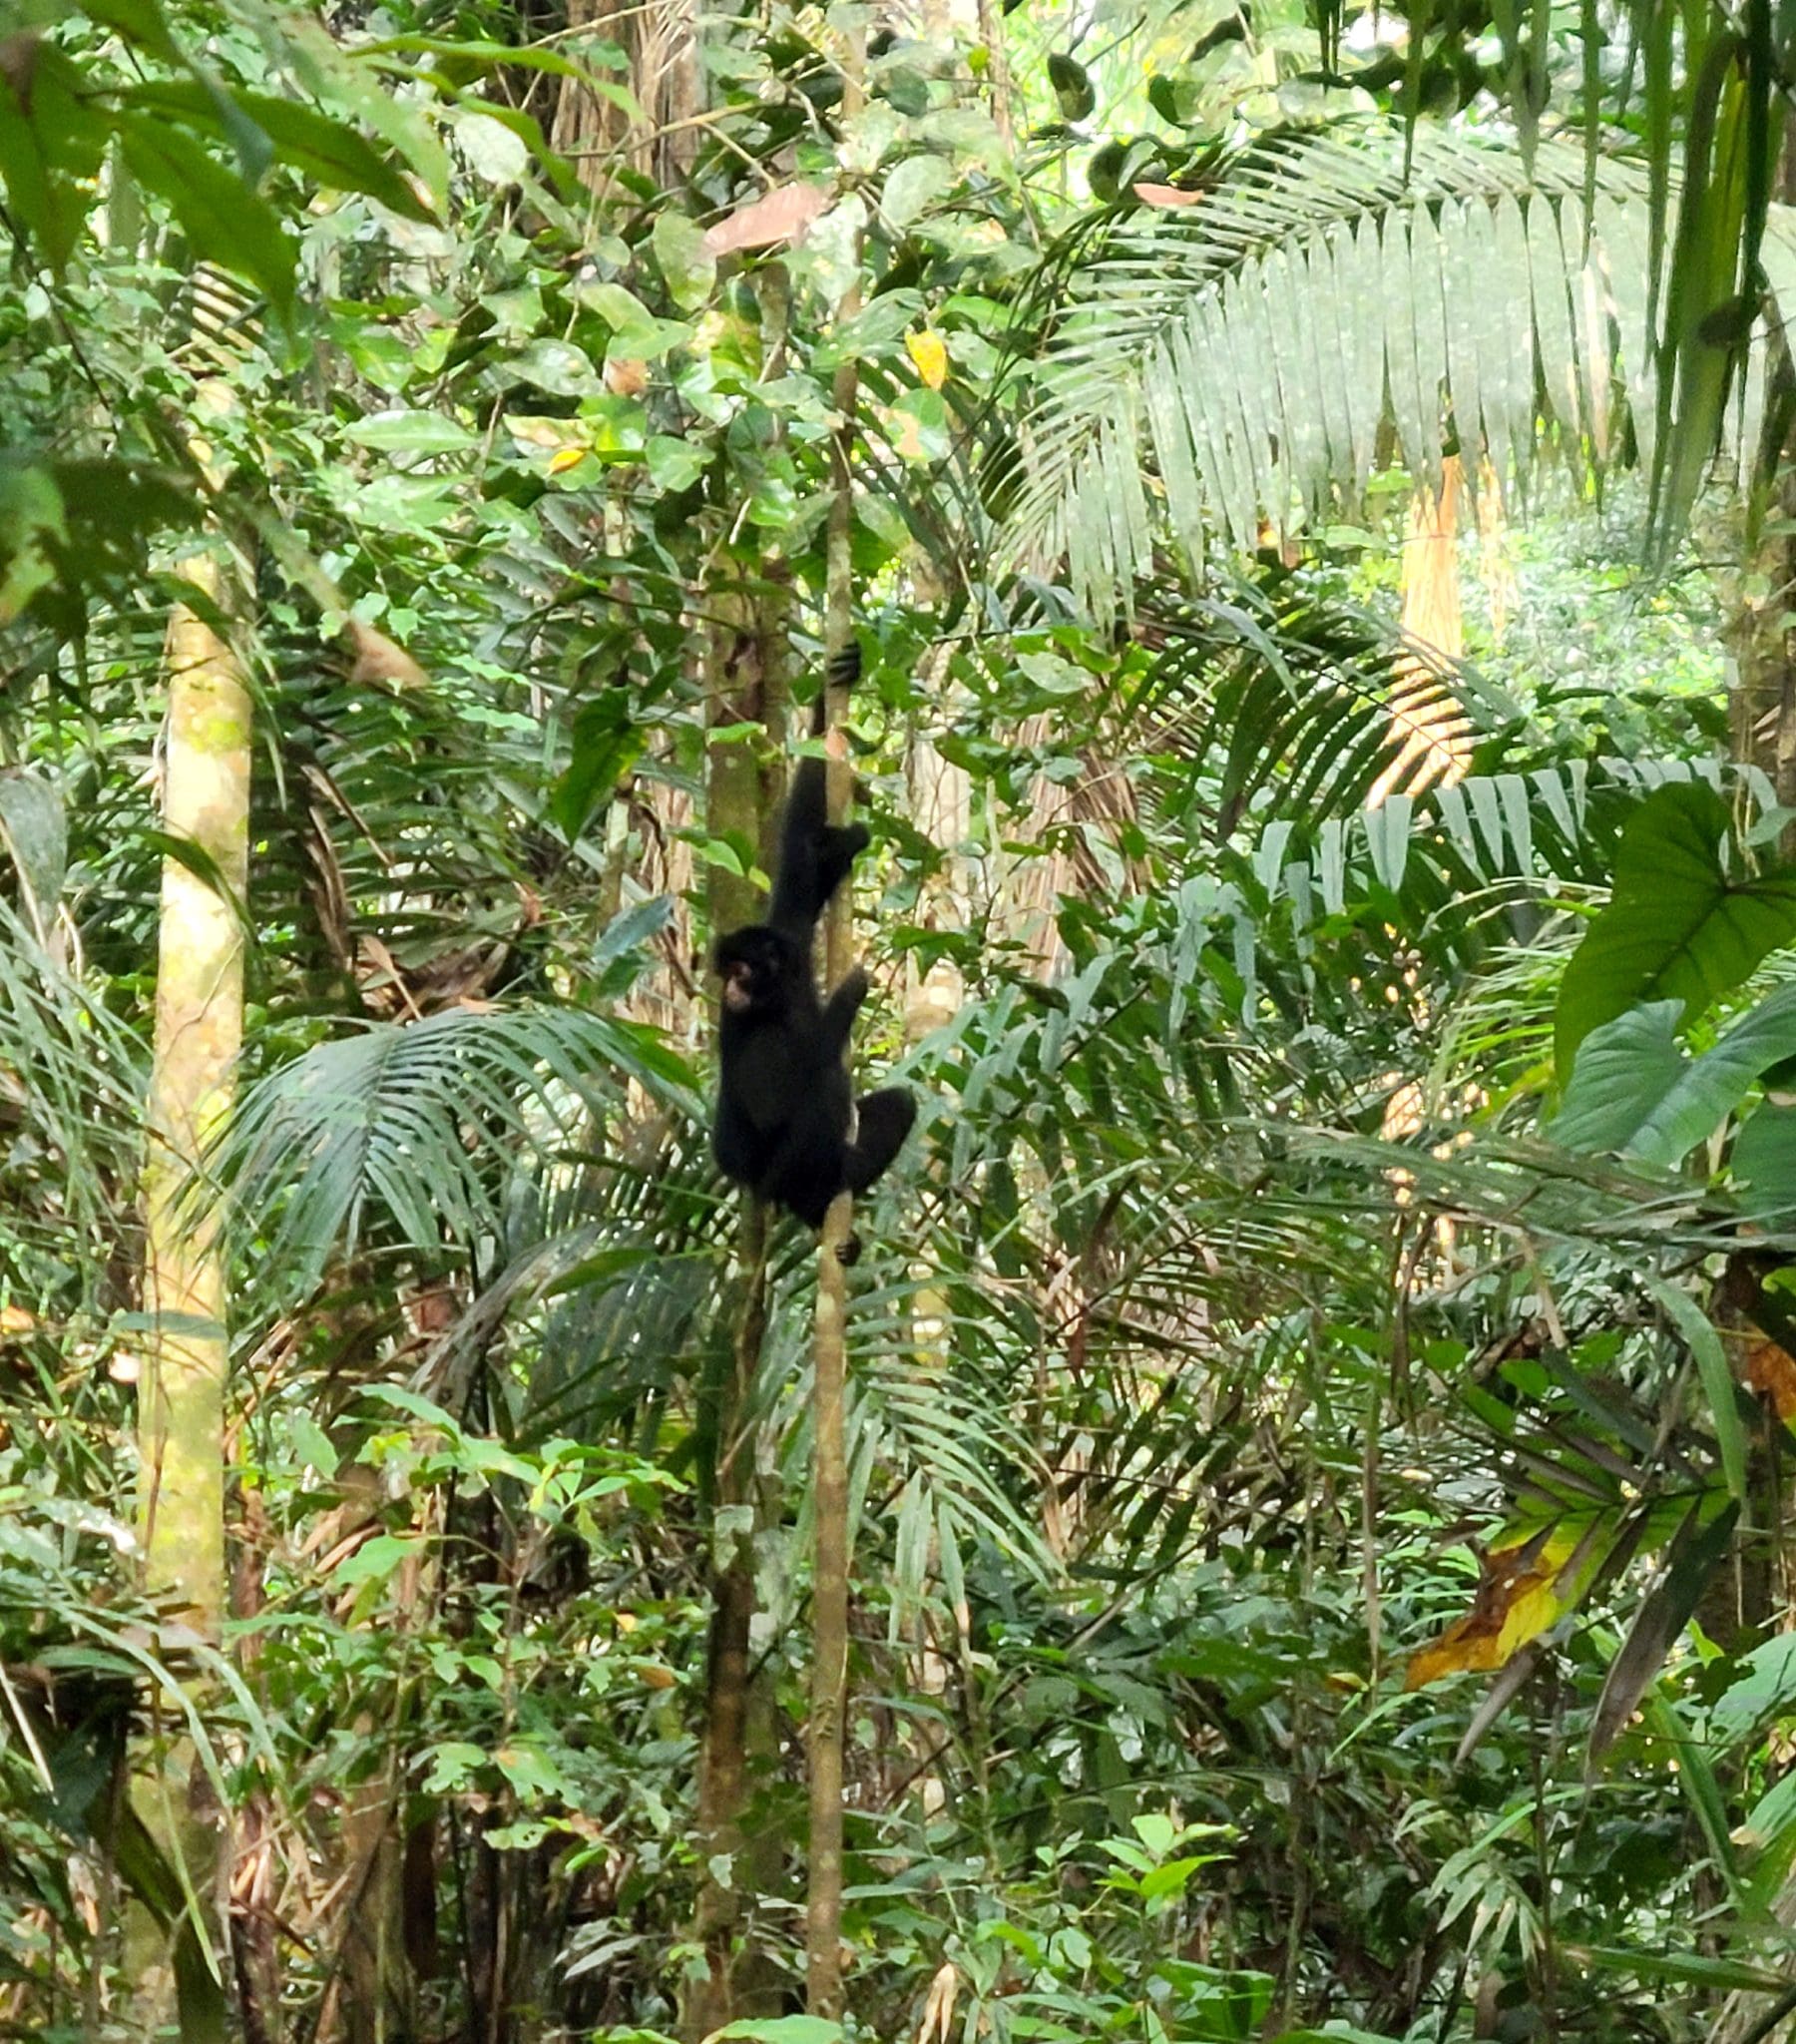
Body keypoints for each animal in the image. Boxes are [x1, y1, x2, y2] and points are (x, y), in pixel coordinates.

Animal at [711, 648, 916, 1233]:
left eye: (742, 970)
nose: (731, 989)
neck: (778, 998)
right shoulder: (753, 1030)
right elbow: (783, 1104)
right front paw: (850, 994)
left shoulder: (792, 941)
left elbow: (798, 849)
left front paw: (834, 688)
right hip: (779, 1175)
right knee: (822, 1095)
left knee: (901, 1103)